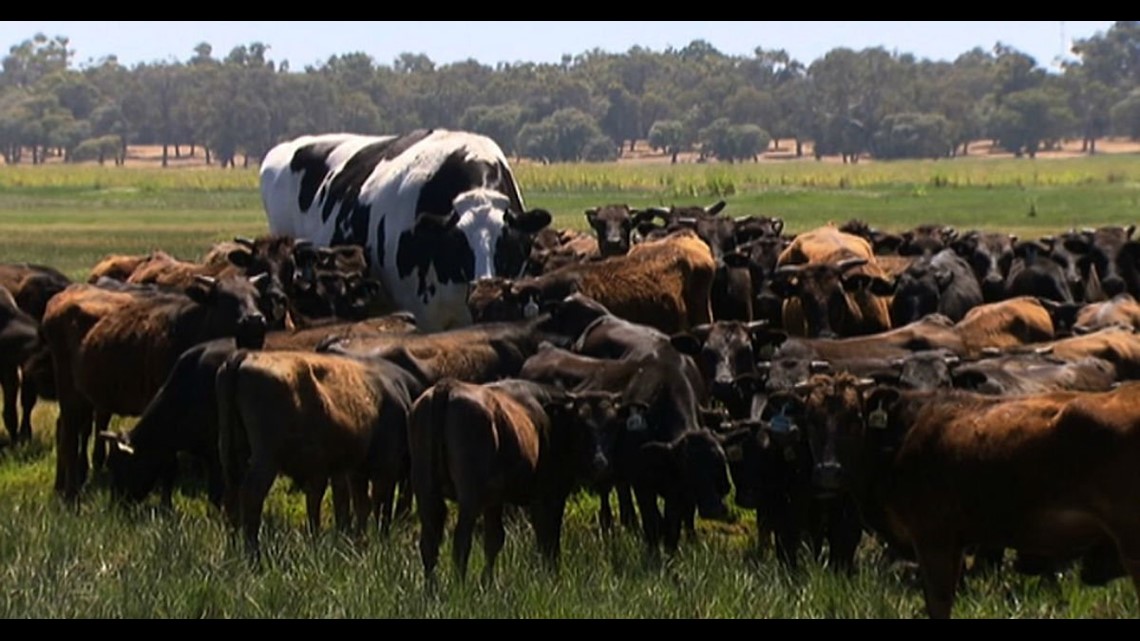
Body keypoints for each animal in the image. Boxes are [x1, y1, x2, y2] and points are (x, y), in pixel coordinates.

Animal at [41, 274, 269, 502]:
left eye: (257, 298)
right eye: (224, 298)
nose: (254, 320)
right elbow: (169, 462)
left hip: (85, 396)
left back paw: (61, 485)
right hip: (69, 392)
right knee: (70, 437)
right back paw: (71, 494)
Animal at [408, 378, 632, 584]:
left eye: (613, 425)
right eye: (581, 425)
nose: (600, 462)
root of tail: (448, 385)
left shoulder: (494, 501)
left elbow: (494, 540)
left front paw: (487, 584)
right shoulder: (549, 495)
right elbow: (548, 539)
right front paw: (552, 576)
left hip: (426, 493)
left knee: (429, 544)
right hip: (469, 499)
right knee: (461, 542)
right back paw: (459, 587)